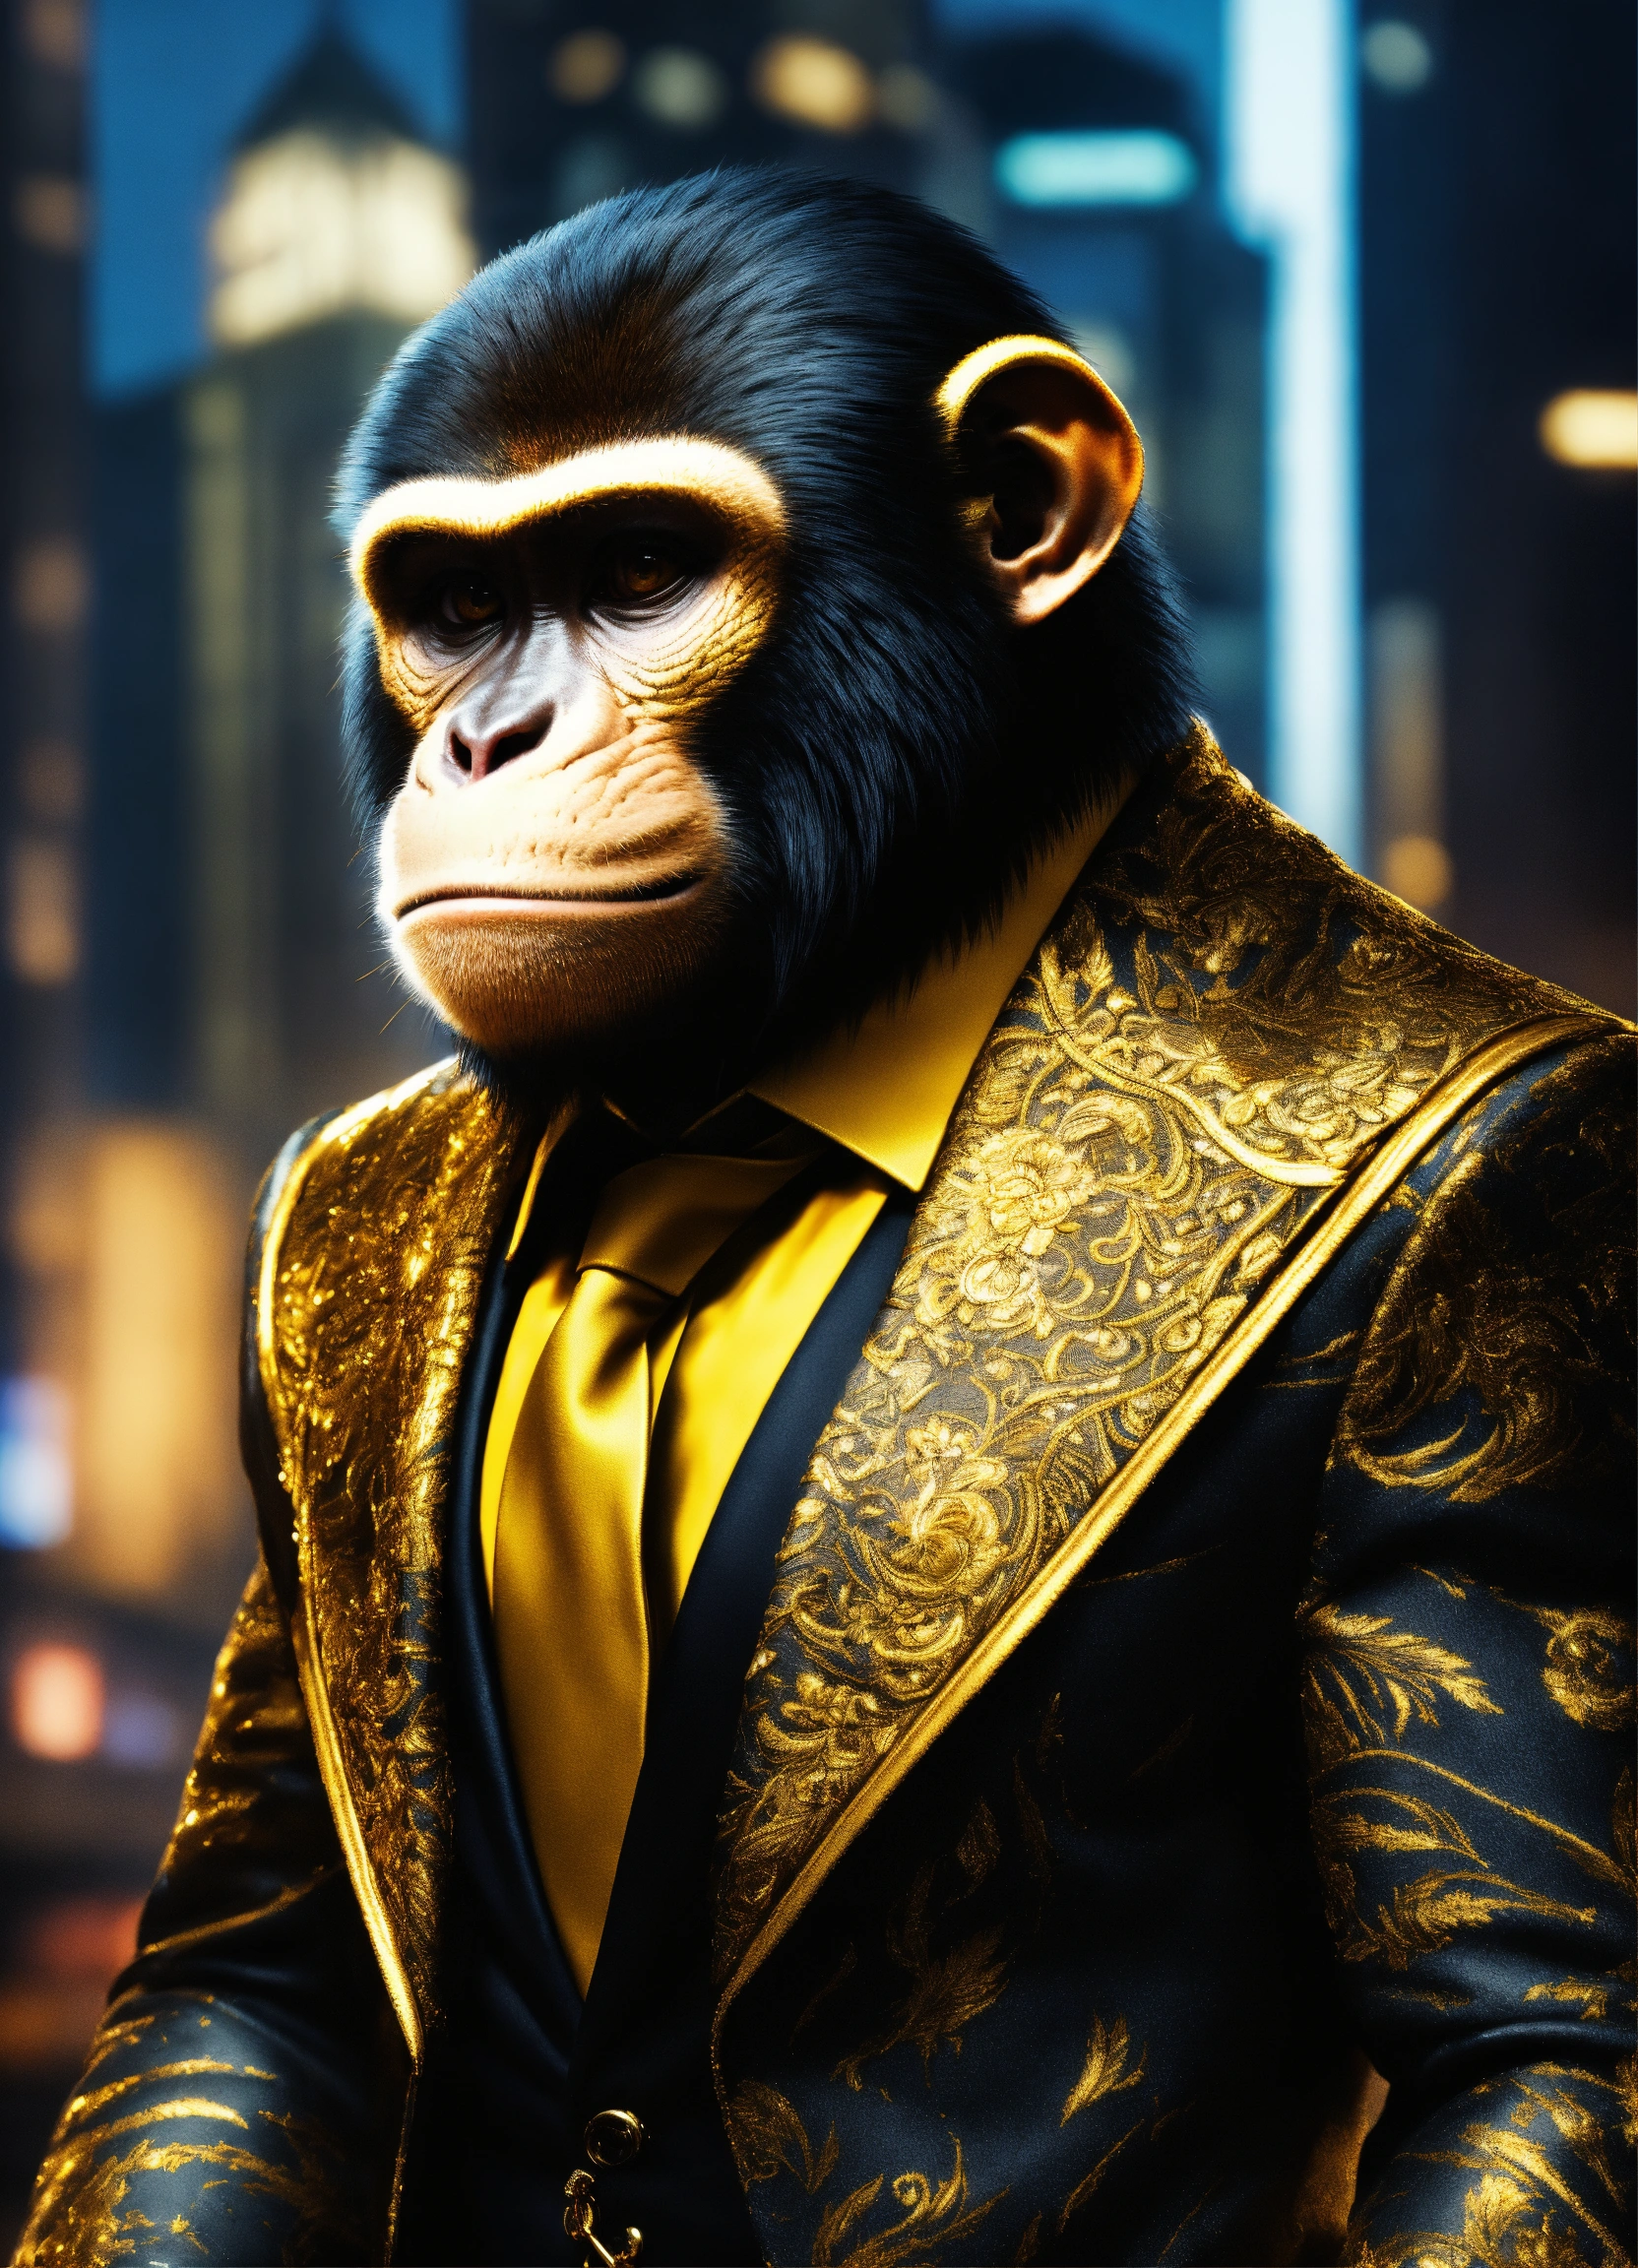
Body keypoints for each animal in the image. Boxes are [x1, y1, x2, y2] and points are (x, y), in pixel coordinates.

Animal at [16, 171, 1632, 2268]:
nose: (487, 738)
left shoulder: (1509, 1285)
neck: (742, 1088)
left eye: (638, 567)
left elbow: (1533, 2025)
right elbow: (252, 1958)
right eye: (450, 609)